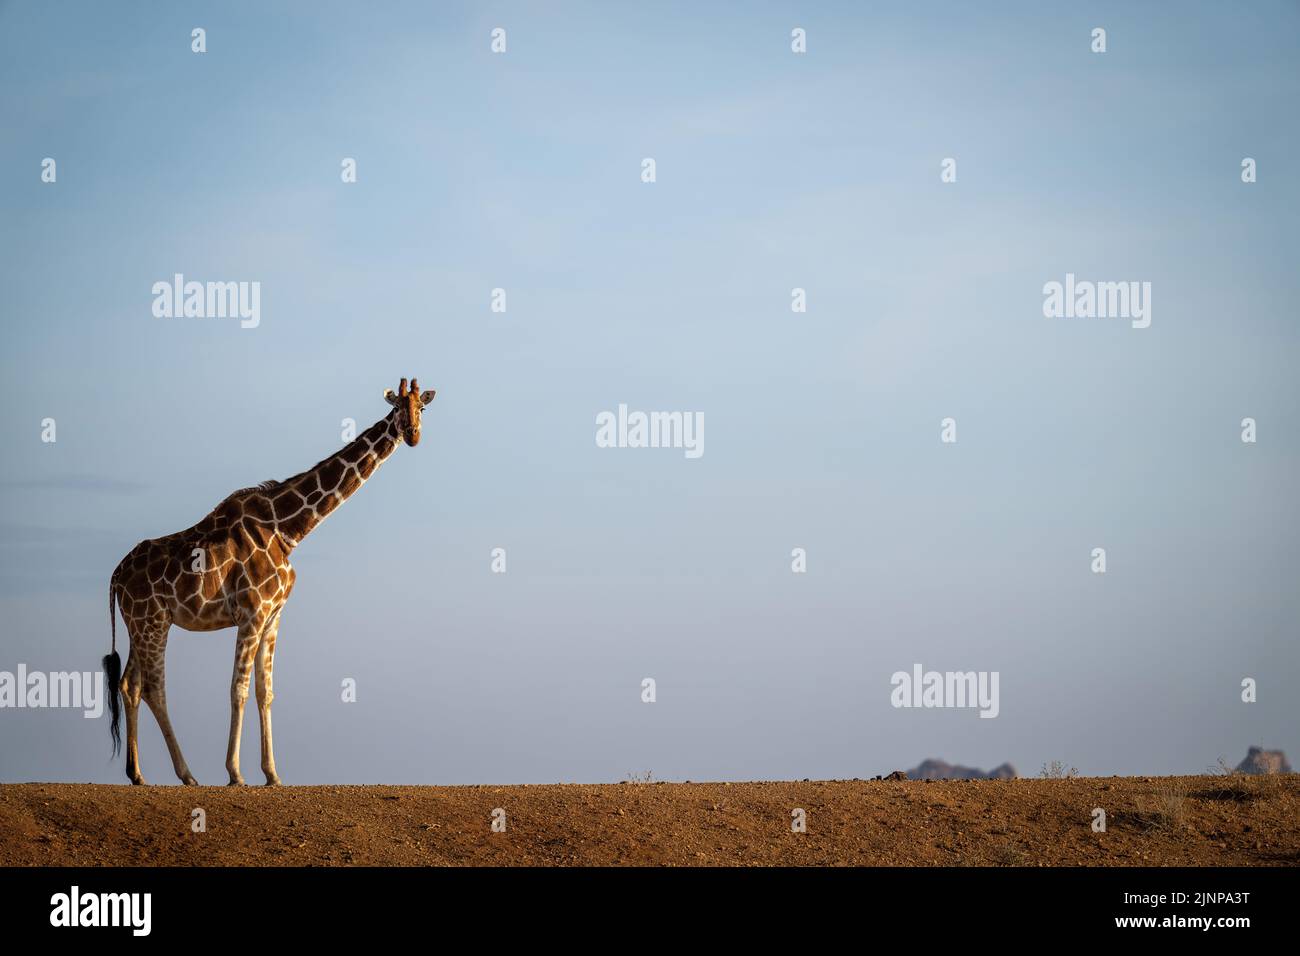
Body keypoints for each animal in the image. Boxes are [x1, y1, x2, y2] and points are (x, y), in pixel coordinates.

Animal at [102, 377, 435, 786]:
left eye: (422, 407)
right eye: (397, 407)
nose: (413, 434)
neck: (288, 528)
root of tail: (116, 575)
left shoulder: (274, 615)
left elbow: (266, 692)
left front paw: (272, 774)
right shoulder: (252, 613)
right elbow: (239, 688)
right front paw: (235, 773)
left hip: (141, 623)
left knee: (129, 684)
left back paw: (138, 774)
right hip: (153, 621)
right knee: (153, 687)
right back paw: (187, 774)